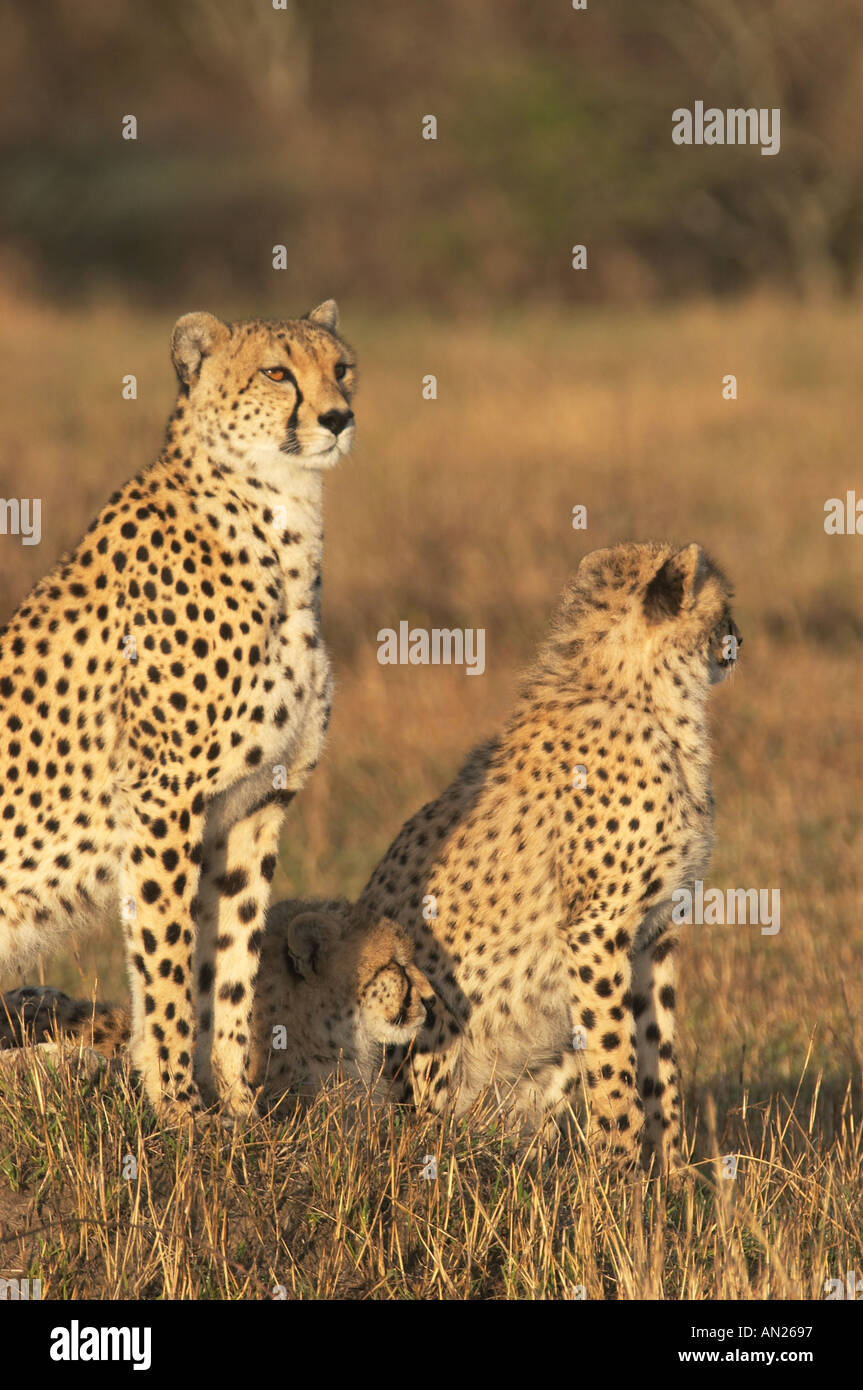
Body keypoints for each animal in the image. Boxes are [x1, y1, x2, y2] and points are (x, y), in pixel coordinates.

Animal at [0, 299, 357, 1120]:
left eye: (342, 367)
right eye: (277, 371)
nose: (338, 417)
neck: (278, 517)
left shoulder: (254, 804)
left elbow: (229, 960)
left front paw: (238, 1107)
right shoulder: (163, 799)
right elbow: (165, 957)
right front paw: (179, 1109)